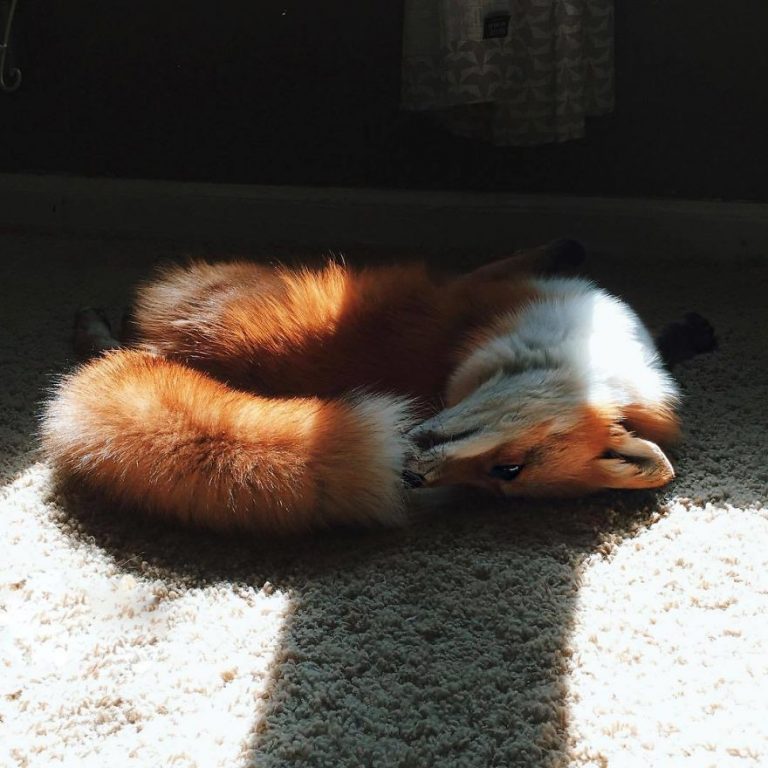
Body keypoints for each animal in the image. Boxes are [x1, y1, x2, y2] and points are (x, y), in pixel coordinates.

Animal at [40, 240, 715, 534]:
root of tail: (176, 357)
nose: (412, 478)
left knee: (110, 347)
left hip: (153, 331)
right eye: (510, 471)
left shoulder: (477, 287)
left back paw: (95, 329)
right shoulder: (486, 289)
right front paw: (687, 332)